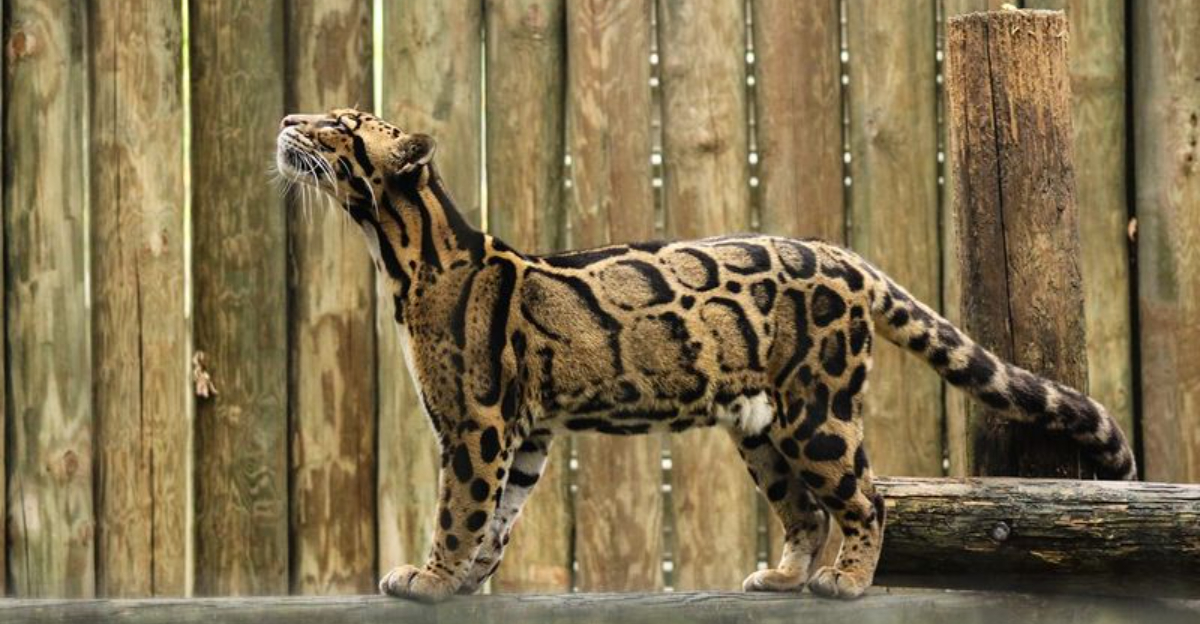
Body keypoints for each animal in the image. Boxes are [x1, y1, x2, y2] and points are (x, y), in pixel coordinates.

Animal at [275, 108, 1136, 602]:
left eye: (340, 125)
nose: (288, 117)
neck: (402, 249)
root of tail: (846, 256)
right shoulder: (525, 431)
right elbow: (503, 512)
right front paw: (468, 579)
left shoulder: (477, 422)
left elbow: (460, 509)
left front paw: (429, 578)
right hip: (762, 428)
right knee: (803, 512)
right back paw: (784, 576)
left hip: (818, 411)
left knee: (867, 498)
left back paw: (848, 581)